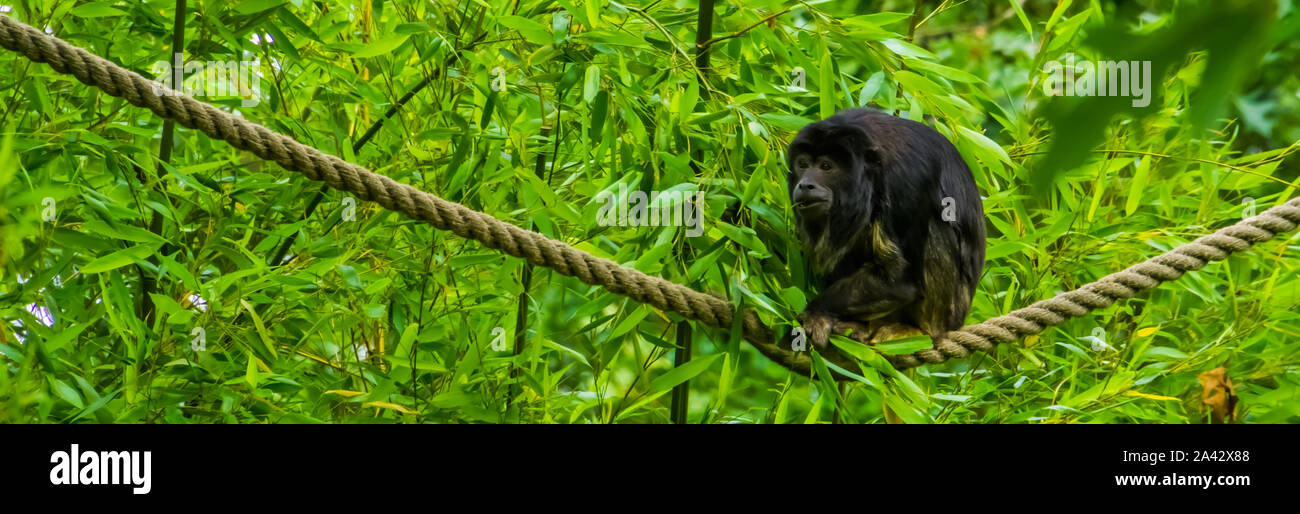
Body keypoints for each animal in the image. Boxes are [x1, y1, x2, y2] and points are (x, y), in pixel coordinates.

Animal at [786, 108, 985, 349]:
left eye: (826, 166)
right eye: (803, 164)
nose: (805, 184)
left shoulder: (906, 180)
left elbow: (900, 281)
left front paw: (816, 311)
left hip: (951, 312)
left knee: (938, 224)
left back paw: (919, 331)